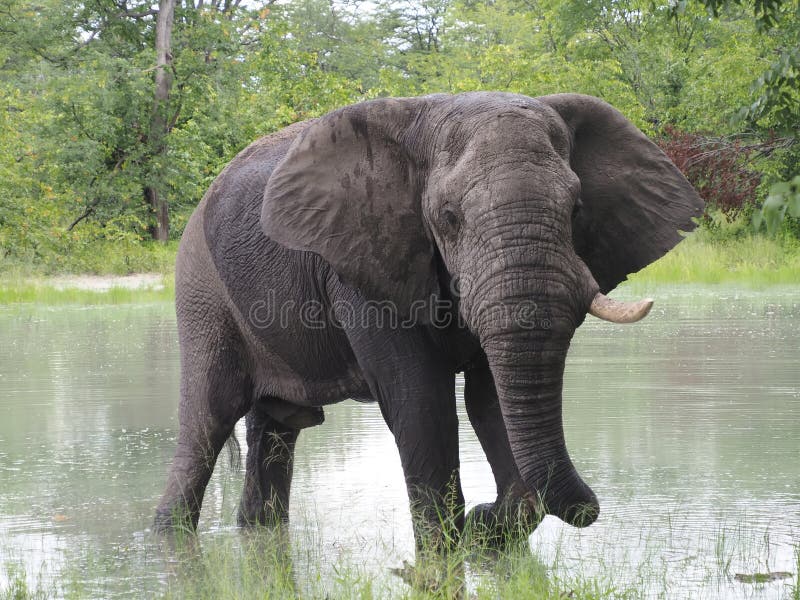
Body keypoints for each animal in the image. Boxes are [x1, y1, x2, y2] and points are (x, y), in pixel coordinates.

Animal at [154, 92, 703, 549]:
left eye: (576, 210)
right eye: (449, 216)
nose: (592, 506)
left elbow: (489, 397)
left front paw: (488, 530)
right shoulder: (362, 264)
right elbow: (420, 400)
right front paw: (451, 545)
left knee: (276, 426)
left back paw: (256, 532)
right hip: (201, 290)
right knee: (207, 421)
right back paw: (168, 536)